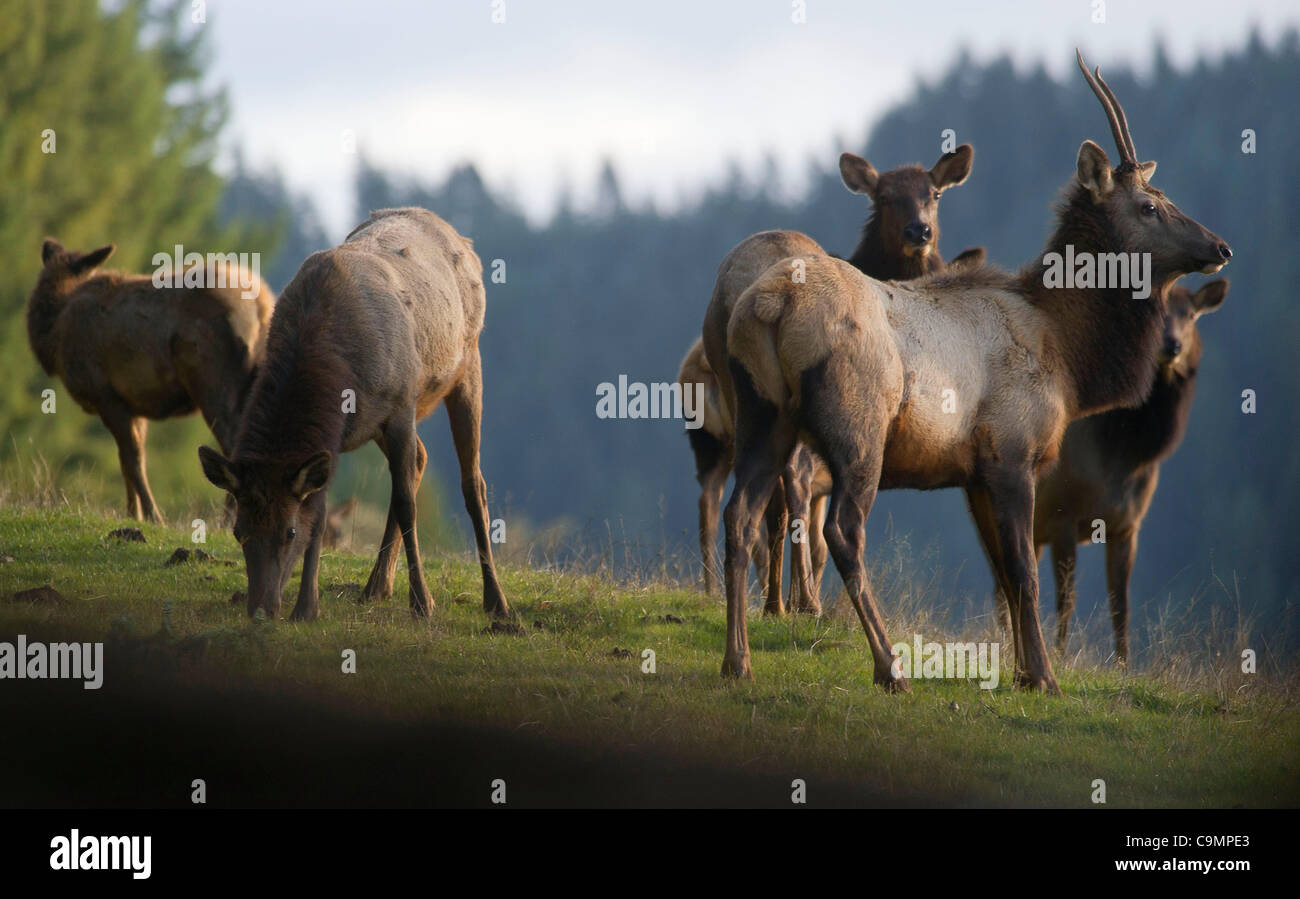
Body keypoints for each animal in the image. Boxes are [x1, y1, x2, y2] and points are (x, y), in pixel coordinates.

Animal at [26, 239, 275, 523]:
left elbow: (132, 460)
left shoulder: (106, 395)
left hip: (213, 382)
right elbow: (127, 461)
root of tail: (261, 308)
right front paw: (133, 515)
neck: (53, 338)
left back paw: (226, 520)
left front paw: (153, 517)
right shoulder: (135, 405)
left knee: (234, 446)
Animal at [198, 207, 510, 623]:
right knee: (418, 461)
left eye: (289, 532)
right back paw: (377, 586)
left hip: (466, 365)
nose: (261, 608)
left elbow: (408, 505)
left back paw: (496, 601)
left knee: (472, 483)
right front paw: (307, 607)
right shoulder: (336, 435)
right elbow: (321, 511)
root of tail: (462, 240)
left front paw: (422, 603)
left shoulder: (400, 405)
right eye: (238, 531)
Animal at [684, 147, 980, 613]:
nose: (920, 231)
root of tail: (739, 287)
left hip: (735, 402)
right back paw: (796, 601)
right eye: (883, 197)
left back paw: (746, 596)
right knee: (789, 488)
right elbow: (820, 534)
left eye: (934, 193)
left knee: (720, 500)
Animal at [1023, 278, 1228, 663]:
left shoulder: (1127, 524)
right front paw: (1060, 653)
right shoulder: (1061, 514)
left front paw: (1123, 662)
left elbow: (1121, 602)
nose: (1172, 344)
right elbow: (1066, 597)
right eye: (1155, 309)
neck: (1123, 458)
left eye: (1191, 315)